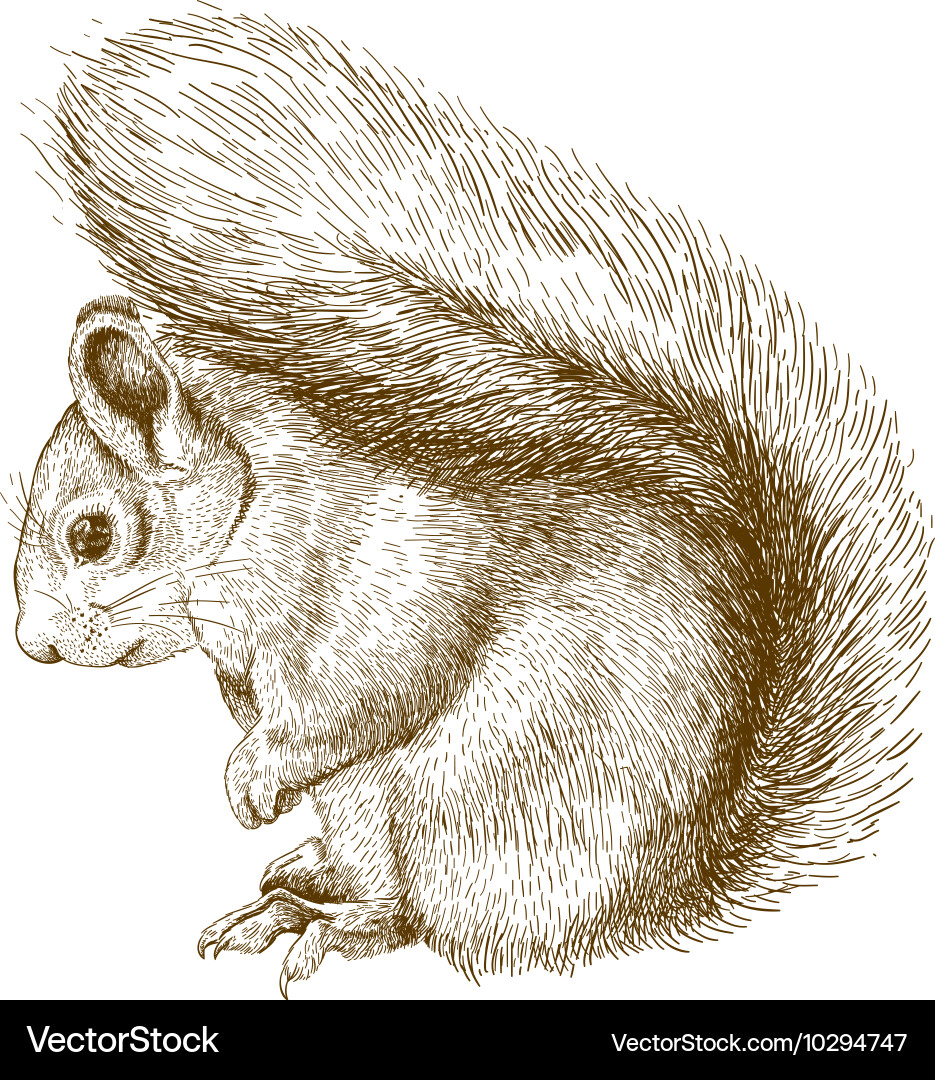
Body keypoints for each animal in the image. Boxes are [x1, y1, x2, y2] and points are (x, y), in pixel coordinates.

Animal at [13, 11, 929, 992]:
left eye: (93, 534)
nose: (32, 647)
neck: (254, 510)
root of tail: (666, 890)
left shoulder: (384, 593)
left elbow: (365, 696)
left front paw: (254, 772)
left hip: (457, 808)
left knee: (425, 921)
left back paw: (330, 927)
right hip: (373, 810)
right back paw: (291, 896)